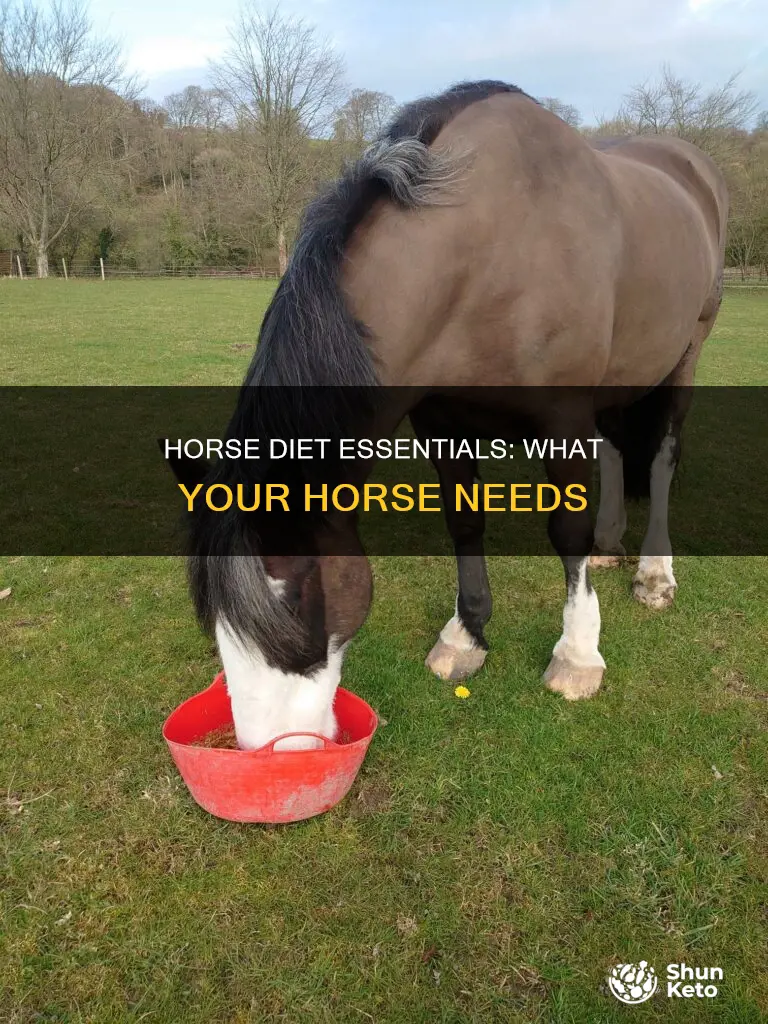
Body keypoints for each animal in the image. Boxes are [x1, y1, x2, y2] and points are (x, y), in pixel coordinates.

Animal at [169, 80, 728, 751]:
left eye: (299, 598)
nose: (267, 750)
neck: (490, 249)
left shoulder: (563, 417)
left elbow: (565, 532)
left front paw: (577, 655)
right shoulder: (441, 422)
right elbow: (464, 523)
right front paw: (466, 636)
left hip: (687, 353)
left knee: (663, 454)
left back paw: (653, 573)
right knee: (619, 446)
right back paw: (610, 544)